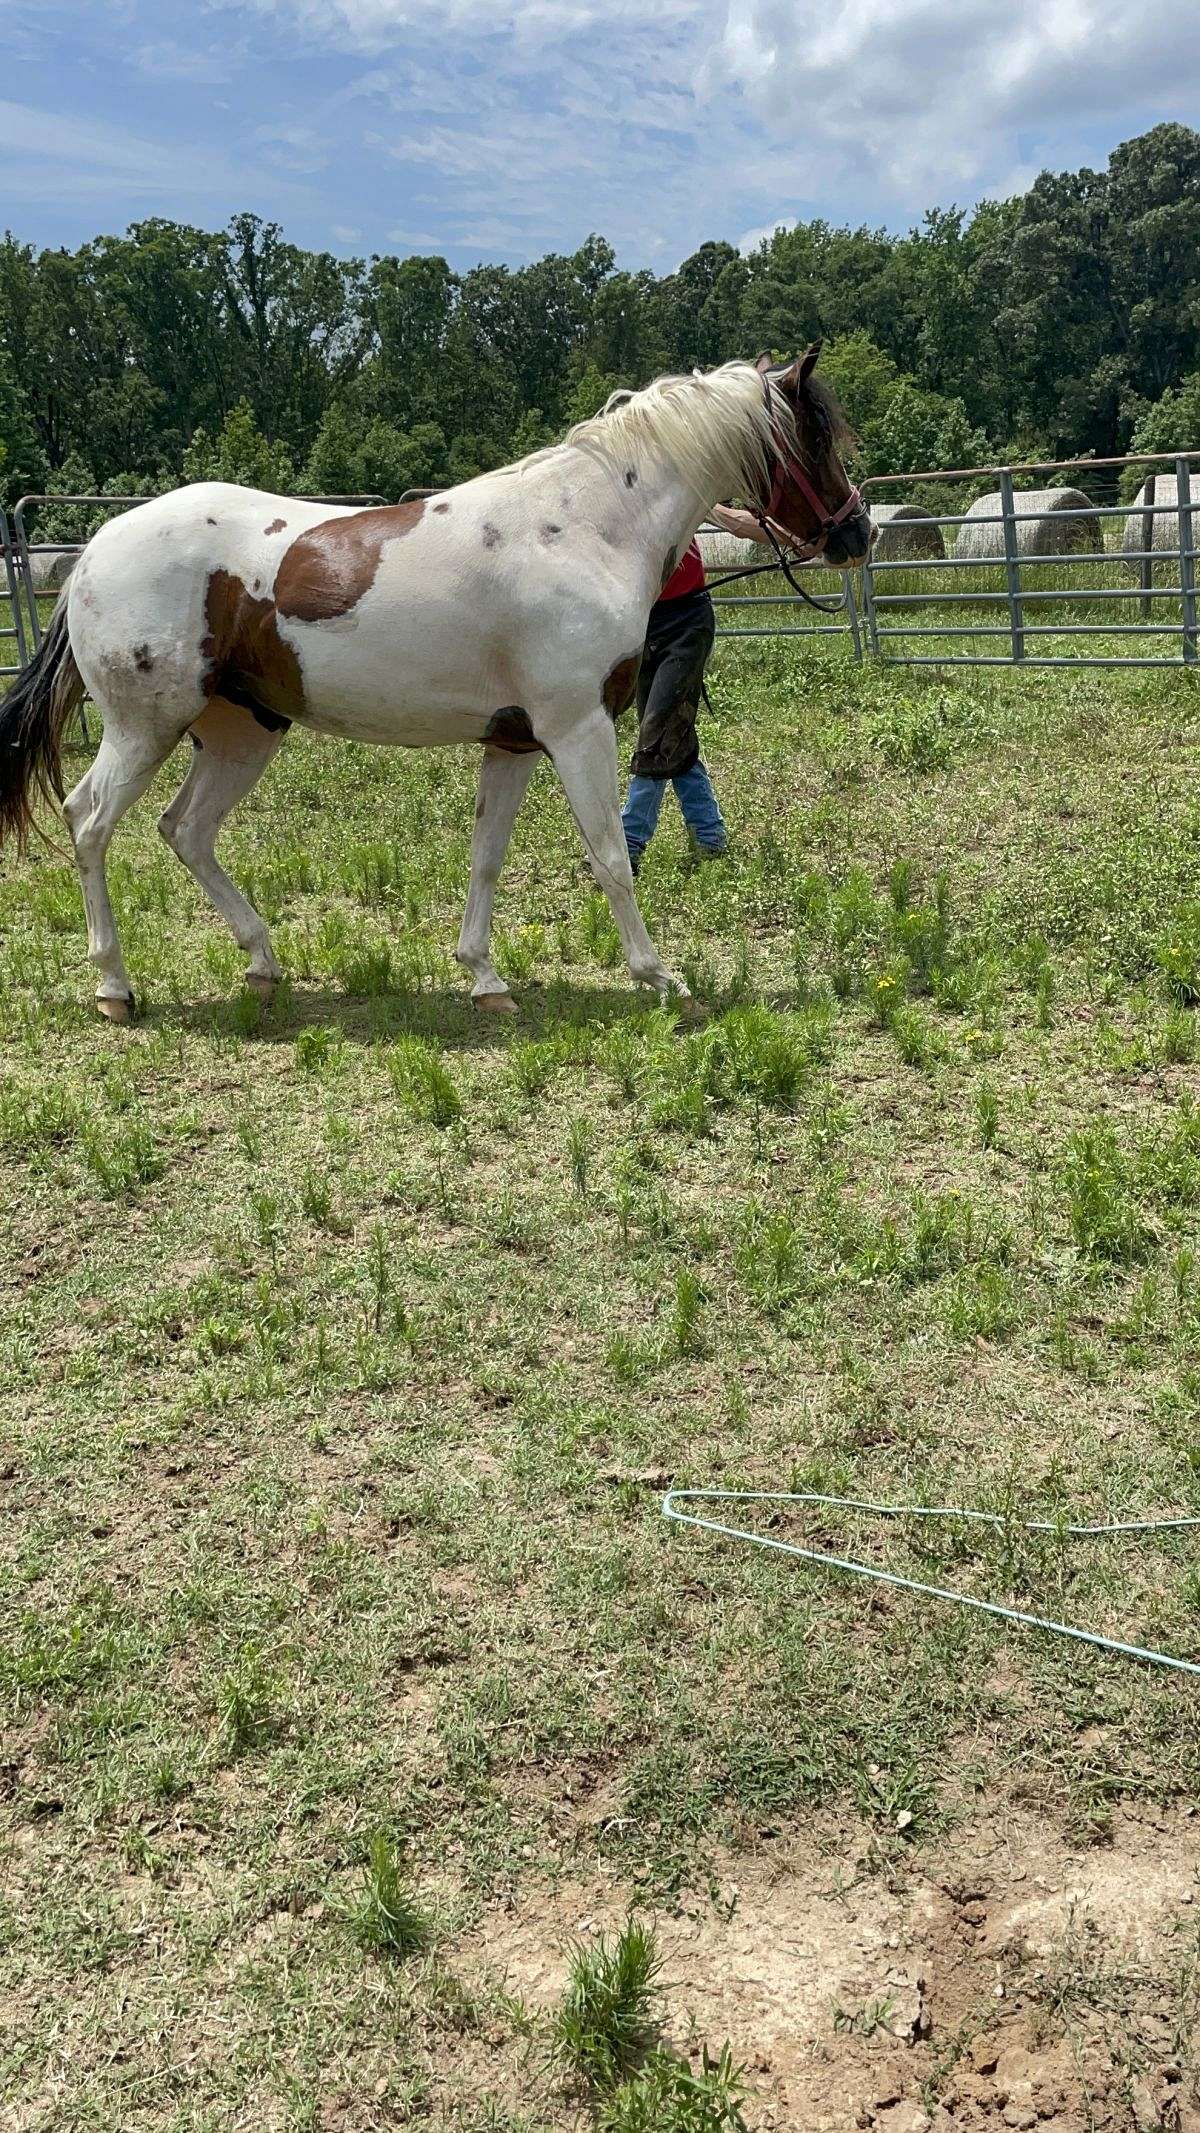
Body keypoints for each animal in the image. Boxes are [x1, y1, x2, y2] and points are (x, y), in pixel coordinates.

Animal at [0, 348, 870, 1022]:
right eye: (815, 435)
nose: (857, 532)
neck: (583, 526)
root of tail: (96, 546)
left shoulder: (515, 741)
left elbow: (487, 857)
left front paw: (486, 979)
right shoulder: (578, 730)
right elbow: (610, 857)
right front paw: (661, 979)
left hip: (243, 734)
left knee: (186, 831)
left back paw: (262, 963)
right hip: (144, 730)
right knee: (88, 822)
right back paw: (115, 987)